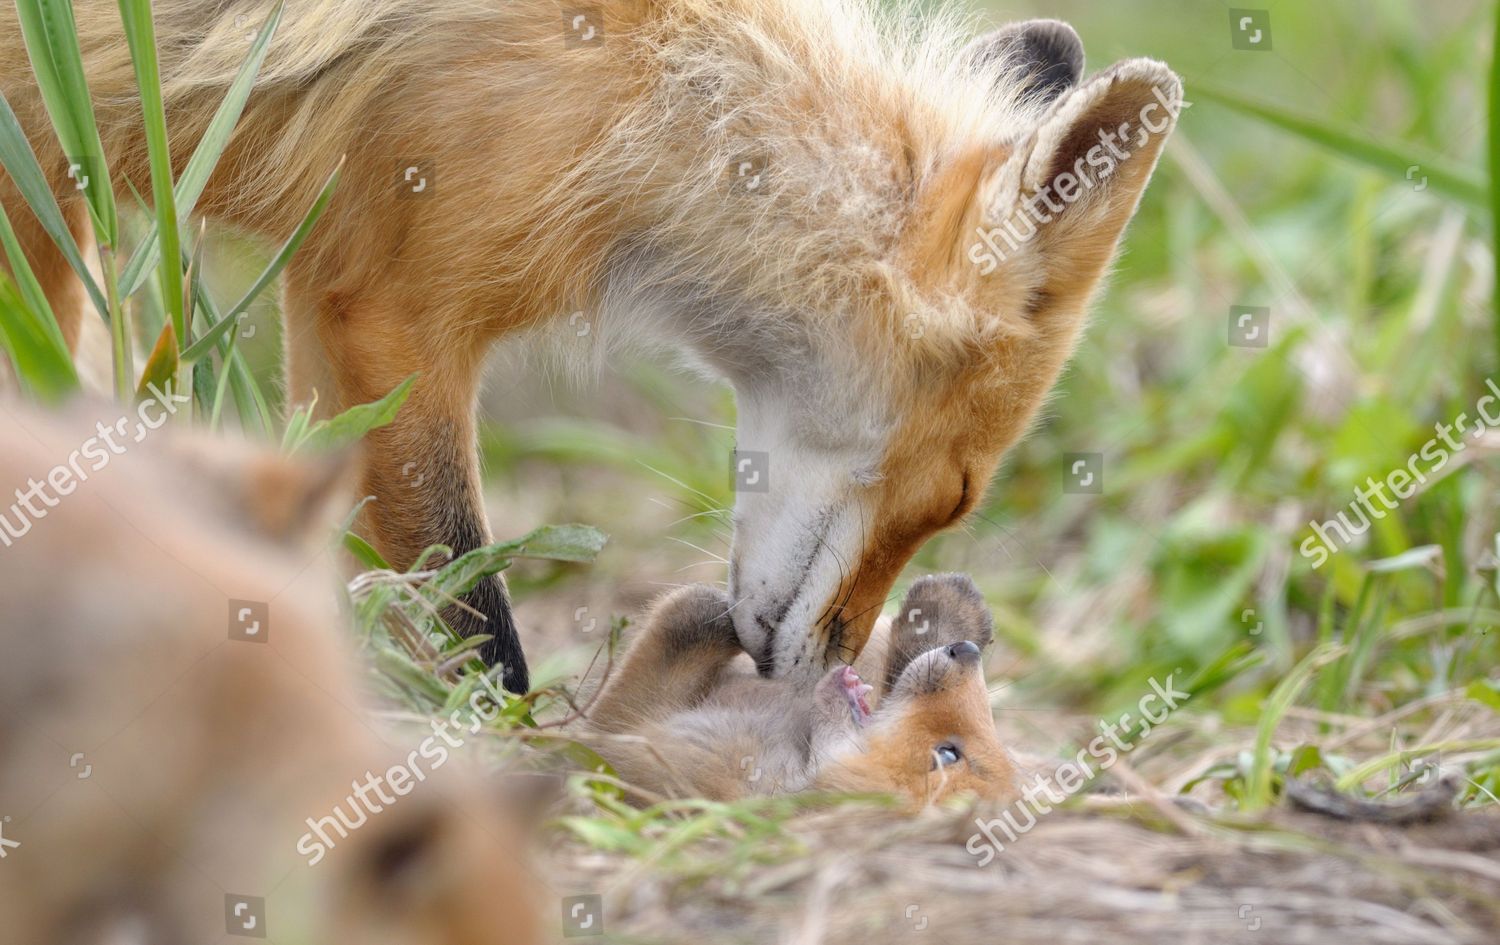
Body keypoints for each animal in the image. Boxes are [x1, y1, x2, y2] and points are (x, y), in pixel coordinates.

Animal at [0, 0, 1181, 693]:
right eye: (954, 496)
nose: (834, 674)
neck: (652, 85)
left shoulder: (325, 300)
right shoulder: (391, 315)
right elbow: (484, 633)